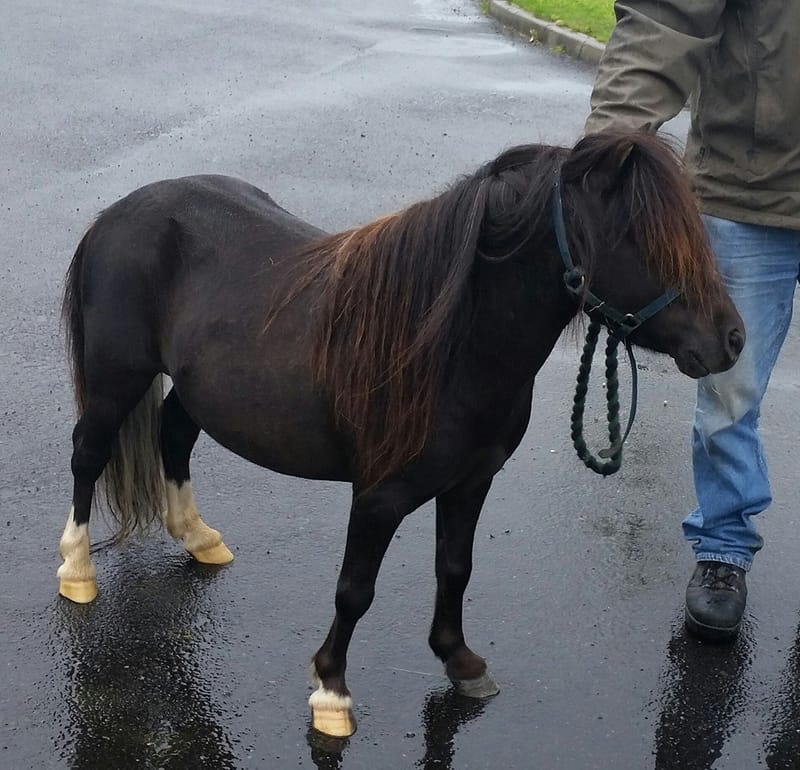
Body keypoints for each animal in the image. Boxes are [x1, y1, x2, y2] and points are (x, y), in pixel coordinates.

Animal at [58, 129, 744, 738]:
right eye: (641, 238)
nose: (731, 340)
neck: (446, 345)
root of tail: (116, 214)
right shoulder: (378, 498)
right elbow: (355, 591)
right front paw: (331, 692)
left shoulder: (471, 481)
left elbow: (455, 567)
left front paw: (460, 661)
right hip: (118, 378)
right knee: (88, 453)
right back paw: (77, 570)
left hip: (193, 389)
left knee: (173, 435)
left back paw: (199, 538)